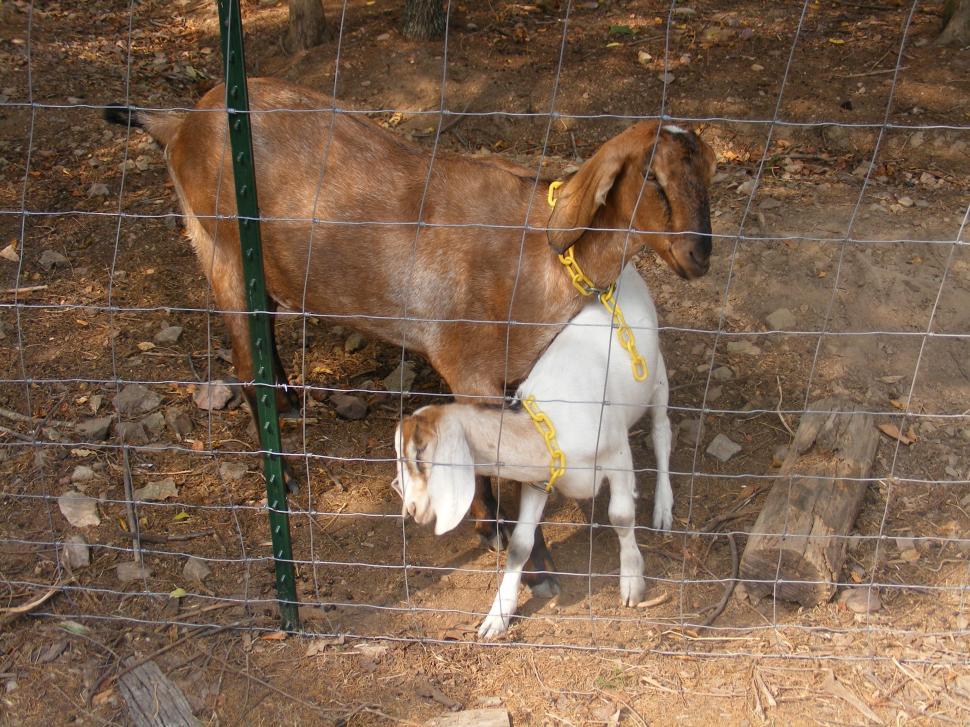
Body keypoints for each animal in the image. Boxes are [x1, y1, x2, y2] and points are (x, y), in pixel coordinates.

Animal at [104, 78, 713, 593]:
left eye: (708, 174)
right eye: (652, 178)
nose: (699, 257)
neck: (533, 256)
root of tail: (184, 121)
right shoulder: (471, 368)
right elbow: (491, 461)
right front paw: (524, 556)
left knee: (265, 333)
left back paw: (290, 396)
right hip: (220, 251)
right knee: (243, 361)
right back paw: (286, 470)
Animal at [394, 262, 671, 638]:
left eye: (421, 454)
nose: (410, 509)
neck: (553, 424)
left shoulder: (616, 455)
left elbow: (621, 516)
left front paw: (631, 582)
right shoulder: (540, 480)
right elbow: (521, 543)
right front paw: (498, 615)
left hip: (657, 377)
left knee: (662, 433)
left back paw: (663, 506)